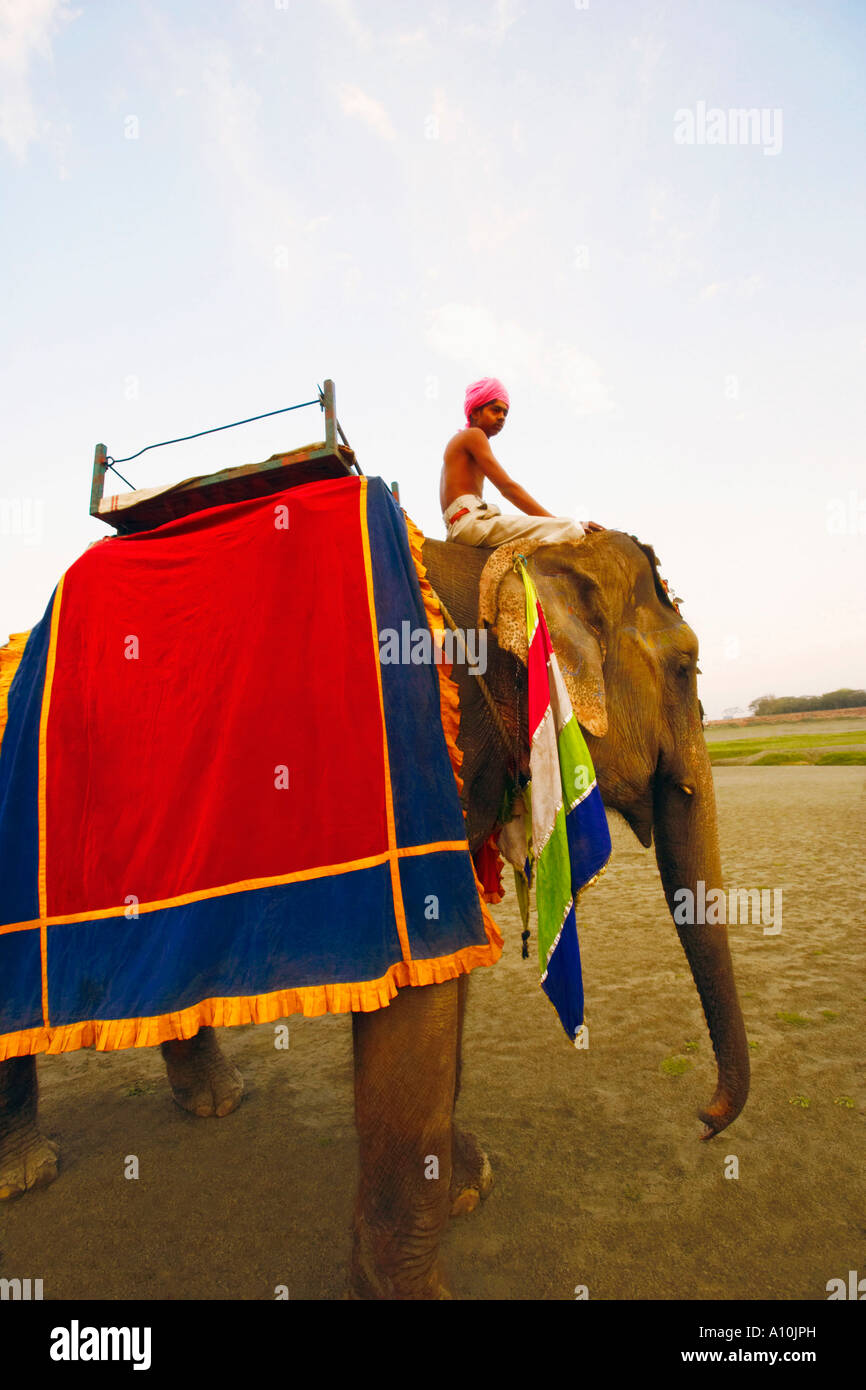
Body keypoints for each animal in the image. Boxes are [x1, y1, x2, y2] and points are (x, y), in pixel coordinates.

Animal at [0, 526, 749, 1299]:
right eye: (686, 667)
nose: (704, 1121)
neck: (494, 571)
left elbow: (450, 976)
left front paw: (468, 1186)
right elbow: (419, 999)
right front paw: (418, 1283)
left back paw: (215, 1103)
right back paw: (26, 1176)